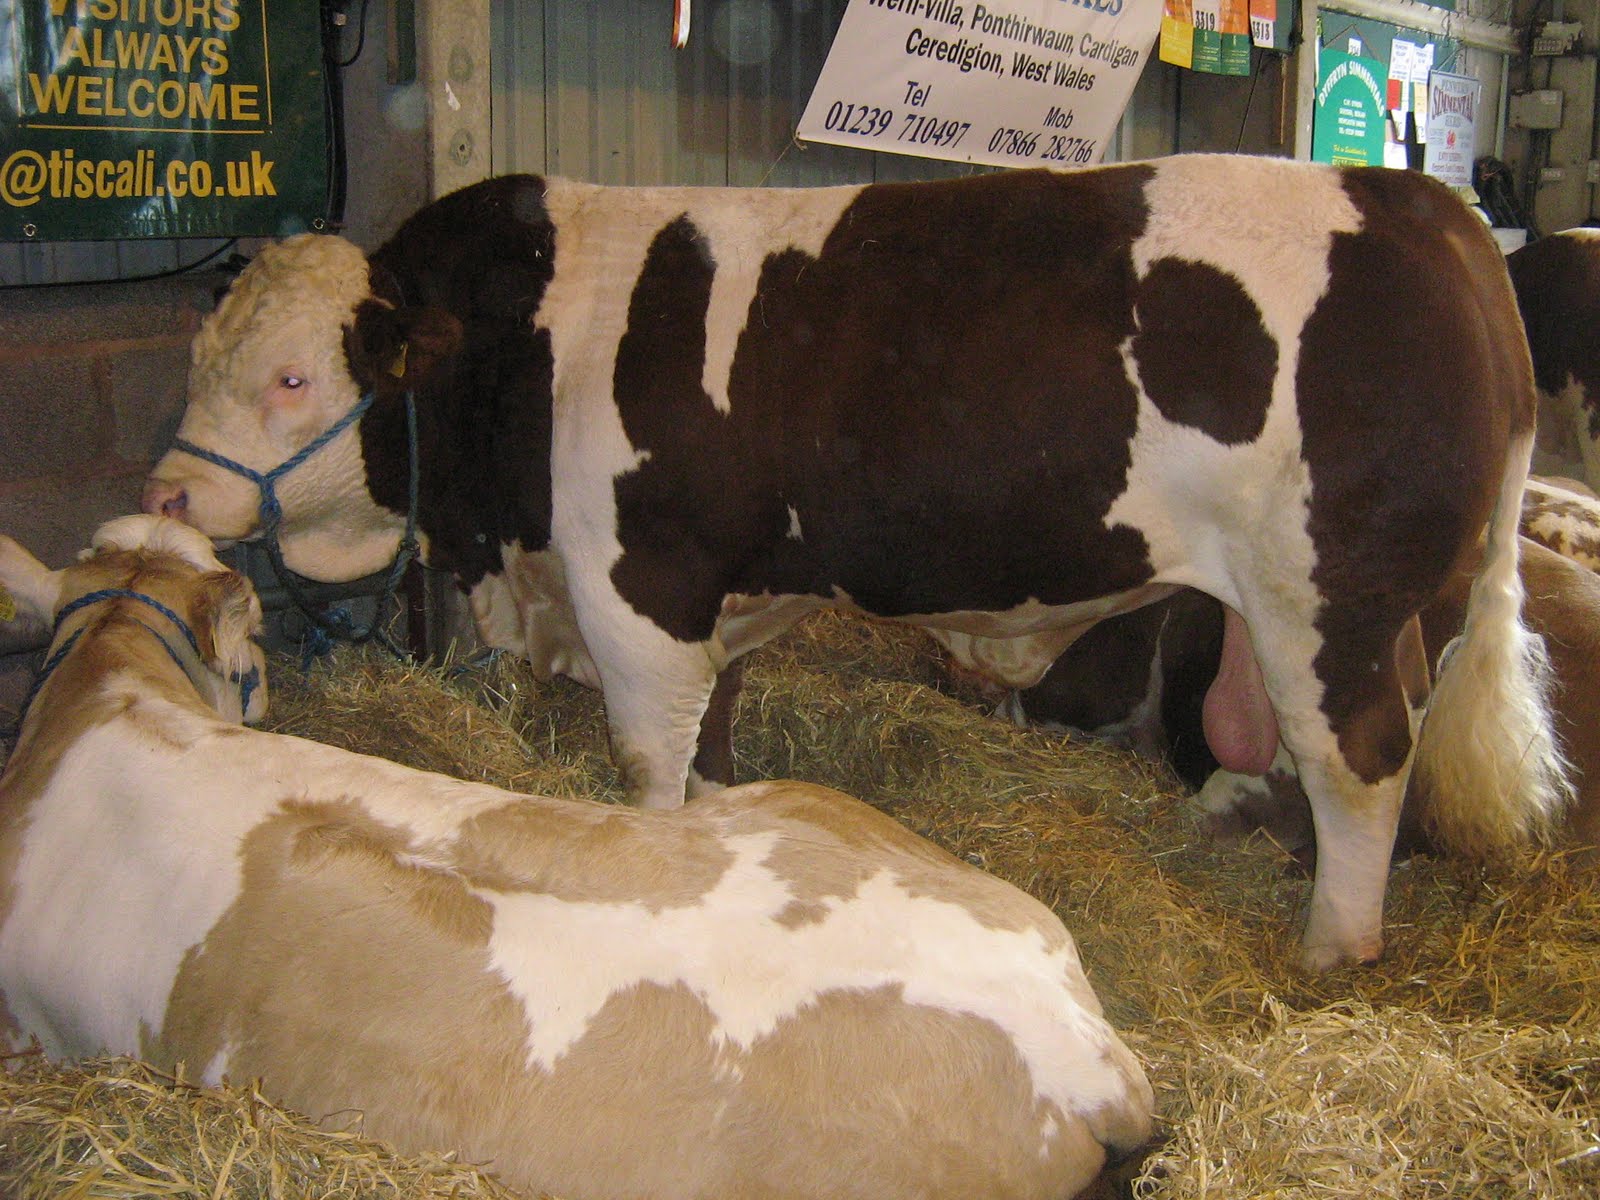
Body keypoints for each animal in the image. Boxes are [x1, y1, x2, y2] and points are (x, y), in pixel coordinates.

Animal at [141, 156, 1569, 970]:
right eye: (202, 349)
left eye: (292, 377)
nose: (167, 488)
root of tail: (1432, 210)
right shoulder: (728, 587)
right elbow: (714, 733)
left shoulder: (640, 582)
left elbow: (650, 759)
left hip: (1328, 599)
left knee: (1359, 765)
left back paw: (1333, 948)